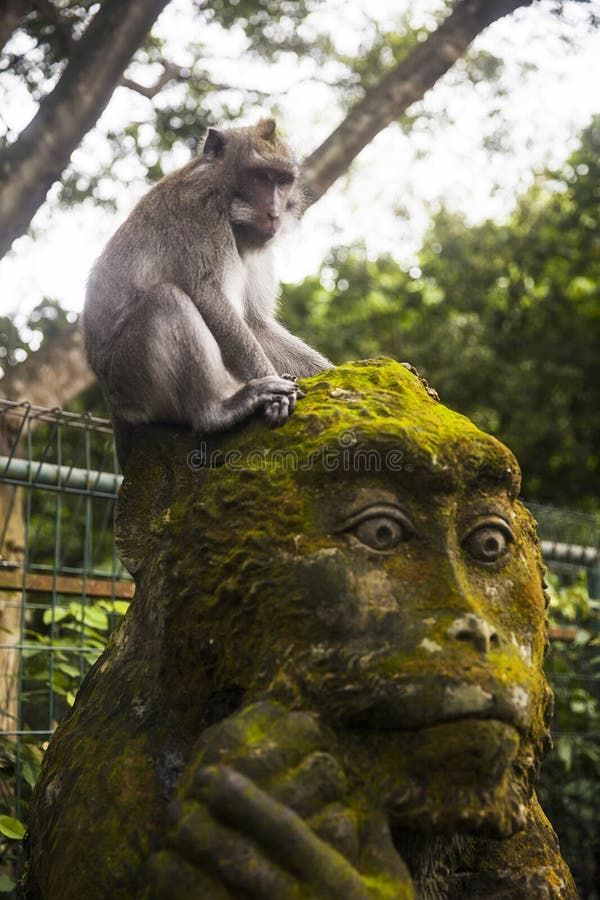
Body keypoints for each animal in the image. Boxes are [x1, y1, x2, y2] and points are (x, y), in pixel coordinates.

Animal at [83, 118, 332, 468]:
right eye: (260, 177)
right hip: (131, 384)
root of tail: (112, 406)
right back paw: (218, 412)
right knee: (166, 300)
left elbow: (255, 323)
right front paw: (279, 393)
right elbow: (209, 300)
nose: (274, 213)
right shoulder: (198, 215)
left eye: (282, 181)